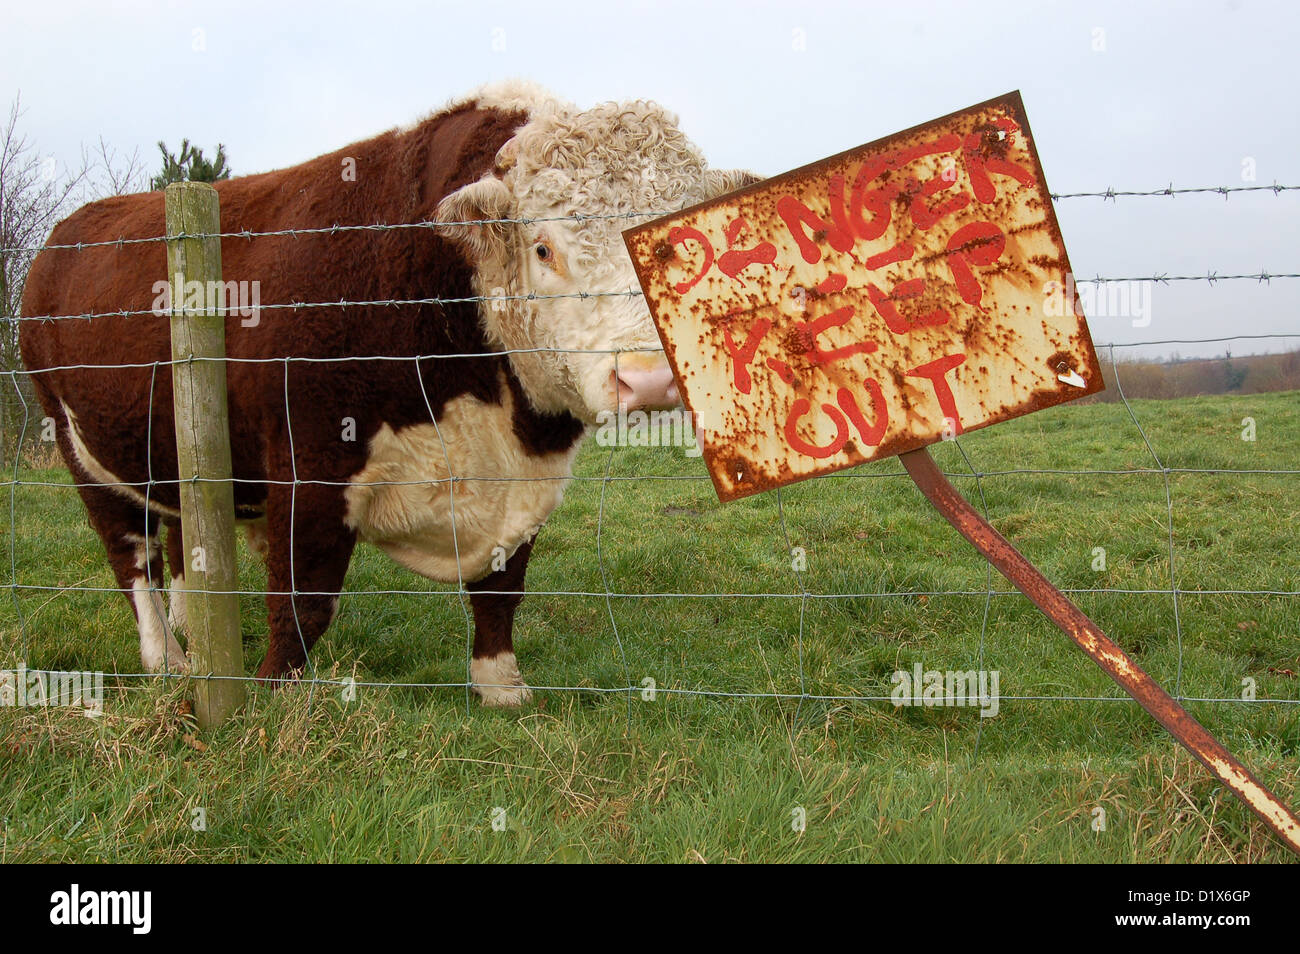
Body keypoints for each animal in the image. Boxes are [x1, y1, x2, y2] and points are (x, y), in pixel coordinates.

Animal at [19, 80, 756, 705]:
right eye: (543, 248)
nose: (650, 376)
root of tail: (63, 235)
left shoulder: (524, 482)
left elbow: (501, 587)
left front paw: (501, 688)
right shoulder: (311, 465)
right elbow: (304, 597)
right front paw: (271, 697)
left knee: (178, 533)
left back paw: (192, 625)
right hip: (78, 446)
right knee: (130, 555)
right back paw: (166, 659)